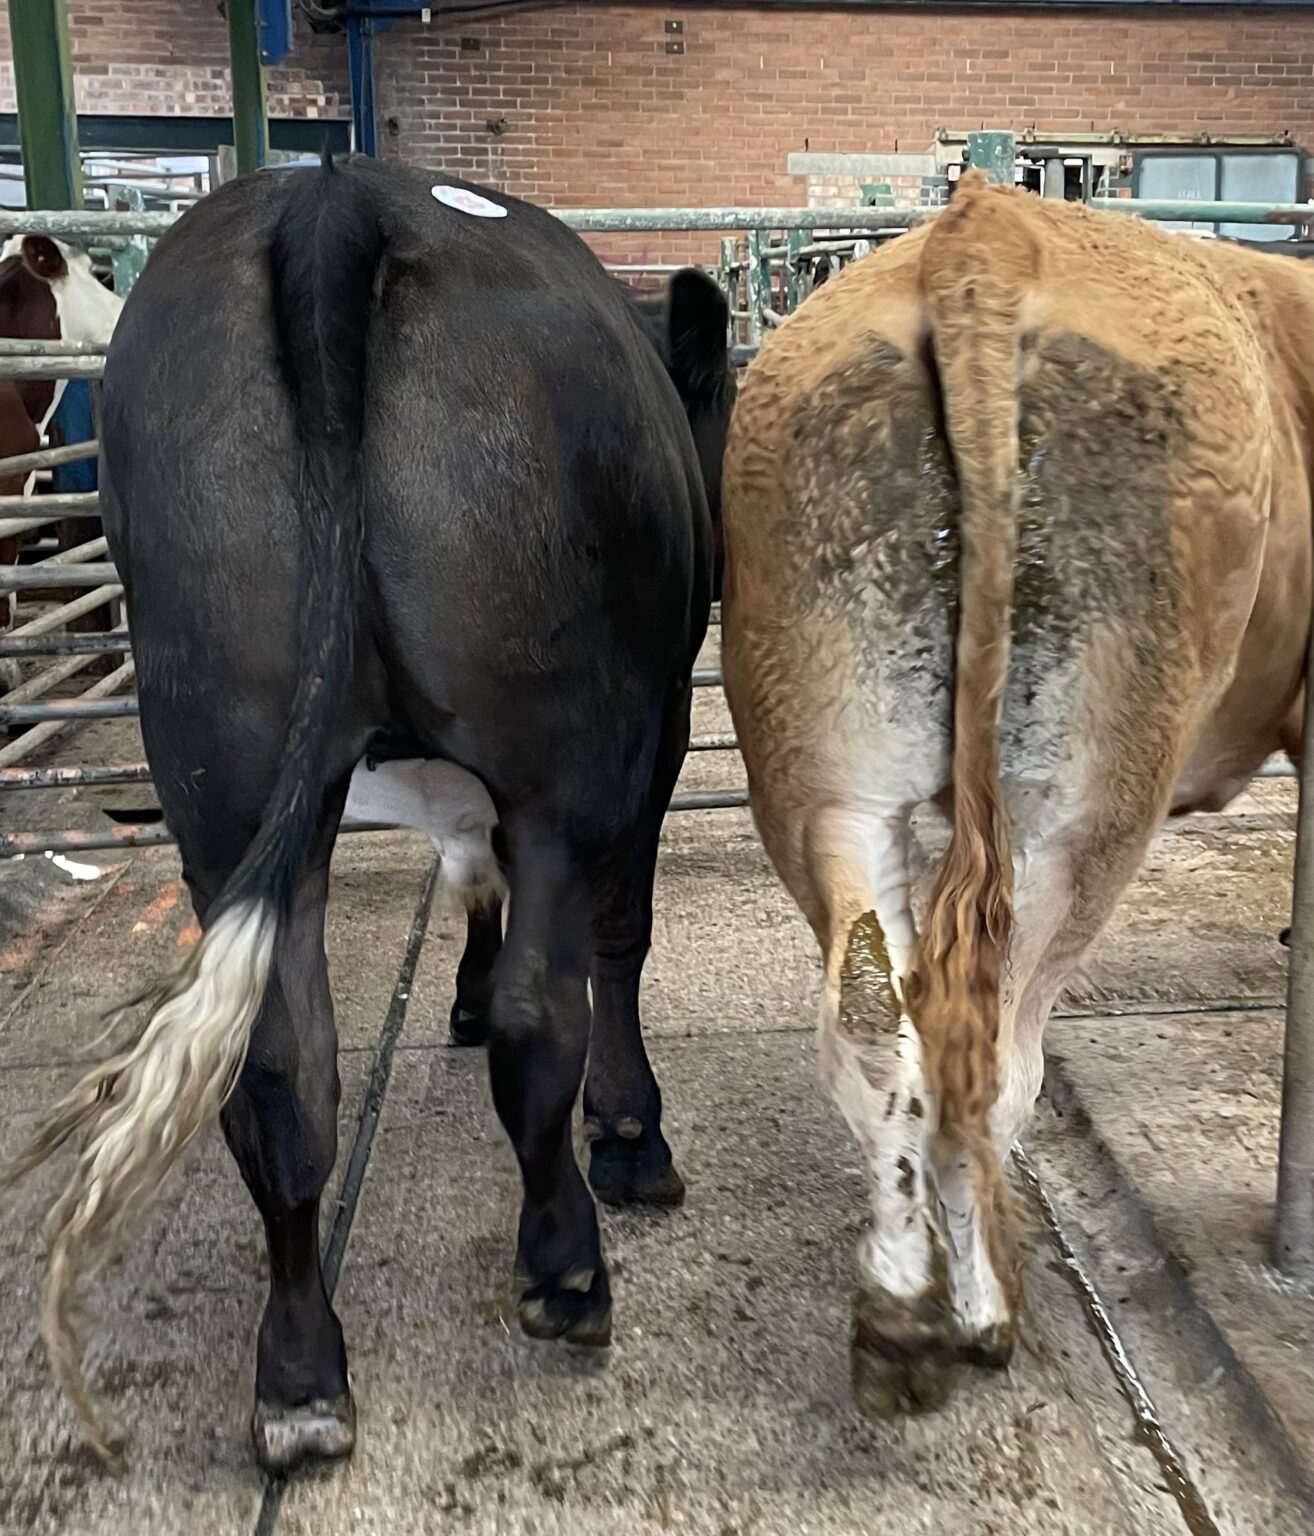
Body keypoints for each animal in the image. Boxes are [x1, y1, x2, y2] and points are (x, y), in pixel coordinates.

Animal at [720, 172, 1309, 1415]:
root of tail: (987, 230)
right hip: (1080, 809)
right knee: (997, 1058)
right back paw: (982, 1315)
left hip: (825, 769)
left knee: (875, 1027)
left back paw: (901, 1317)